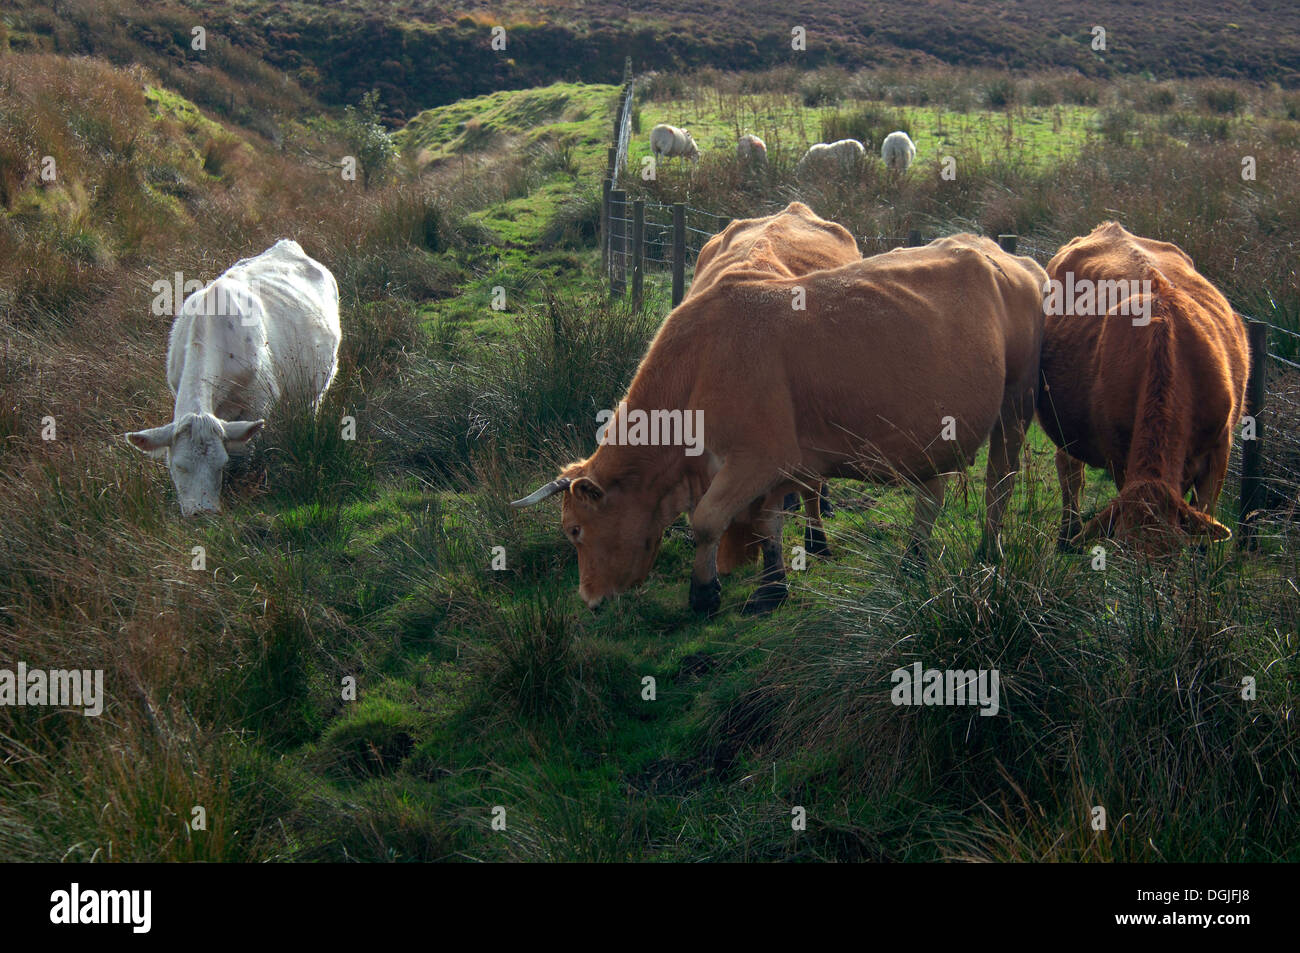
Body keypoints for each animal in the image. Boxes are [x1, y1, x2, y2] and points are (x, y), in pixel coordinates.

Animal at [126, 239, 341, 516]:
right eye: (178, 466)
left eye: (221, 465)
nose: (202, 512)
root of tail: (287, 245)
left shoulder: (258, 402)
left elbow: (242, 453)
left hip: (321, 381)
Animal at [1038, 222, 1248, 550]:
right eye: (1121, 551)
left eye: (1174, 553)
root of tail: (1110, 228)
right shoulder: (1119, 455)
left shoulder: (1219, 451)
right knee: (1070, 472)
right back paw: (1067, 535)